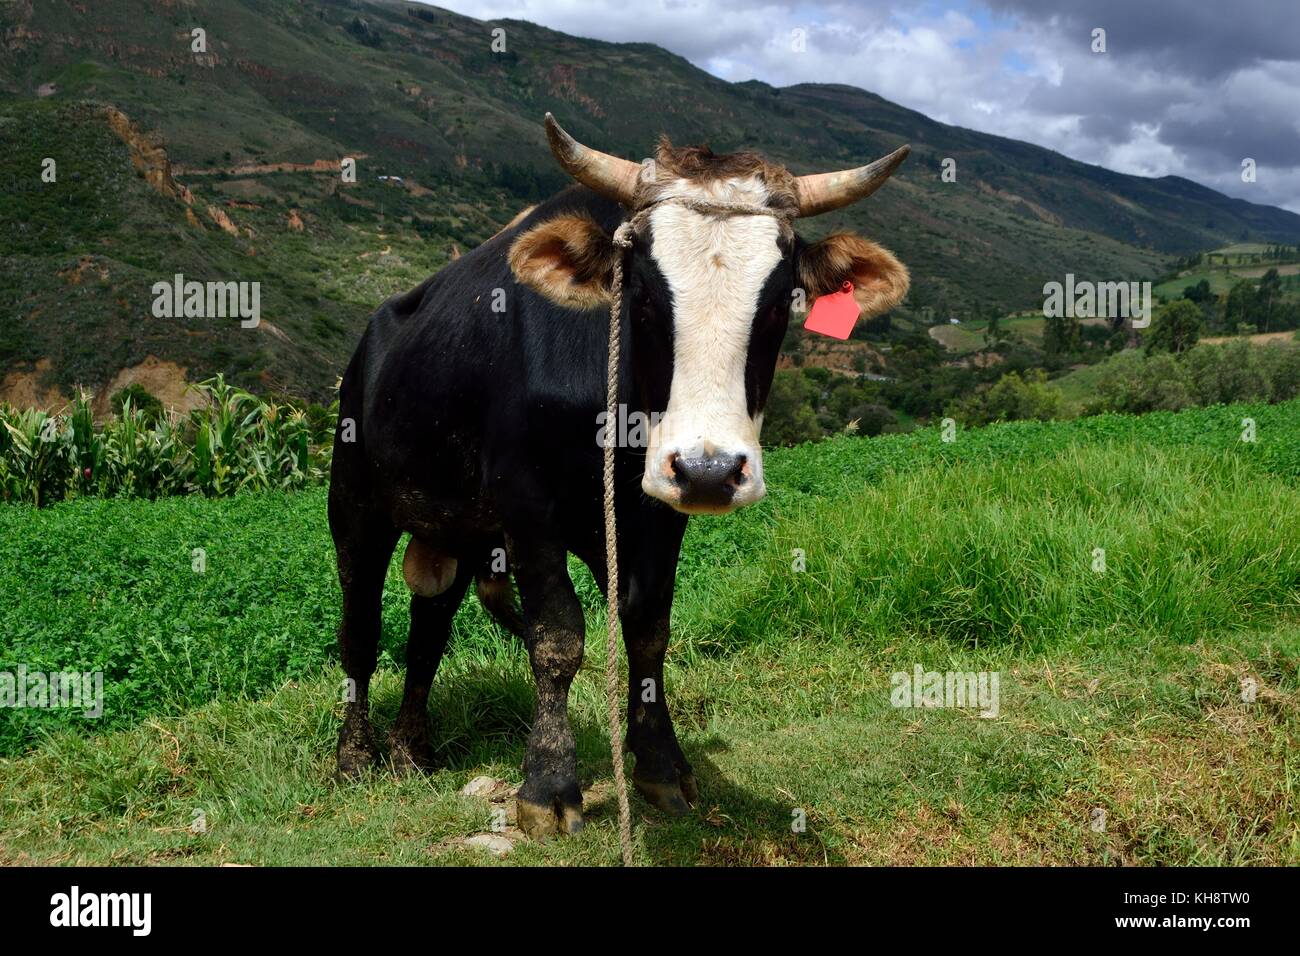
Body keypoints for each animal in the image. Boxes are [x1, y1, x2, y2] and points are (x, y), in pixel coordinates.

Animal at [329, 114, 910, 840]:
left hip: (454, 528)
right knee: (361, 628)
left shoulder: (656, 514)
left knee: (429, 625)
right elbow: (557, 638)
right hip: (355, 505)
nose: (710, 469)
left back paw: (412, 748)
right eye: (642, 294)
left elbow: (647, 628)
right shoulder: (528, 508)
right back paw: (356, 757)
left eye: (781, 301)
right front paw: (549, 787)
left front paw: (660, 763)